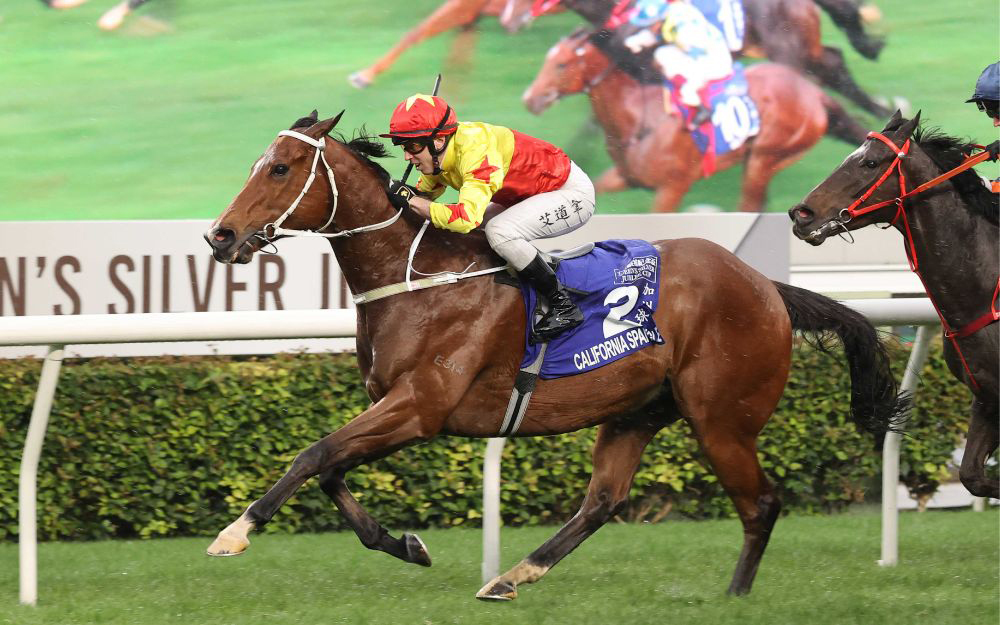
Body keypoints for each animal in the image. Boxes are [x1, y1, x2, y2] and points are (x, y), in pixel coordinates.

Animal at [202, 110, 905, 599]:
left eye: (280, 169)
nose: (220, 236)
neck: (415, 277)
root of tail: (766, 286)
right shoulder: (394, 409)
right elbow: (329, 470)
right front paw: (405, 544)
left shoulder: (420, 408)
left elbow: (313, 454)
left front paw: (235, 532)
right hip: (637, 410)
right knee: (604, 501)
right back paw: (512, 576)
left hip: (722, 418)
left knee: (759, 504)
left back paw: (734, 595)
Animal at [523, 29, 868, 212]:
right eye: (548, 61)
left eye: (561, 64)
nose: (530, 99)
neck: (637, 119)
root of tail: (813, 93)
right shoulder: (624, 177)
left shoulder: (672, 187)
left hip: (766, 156)